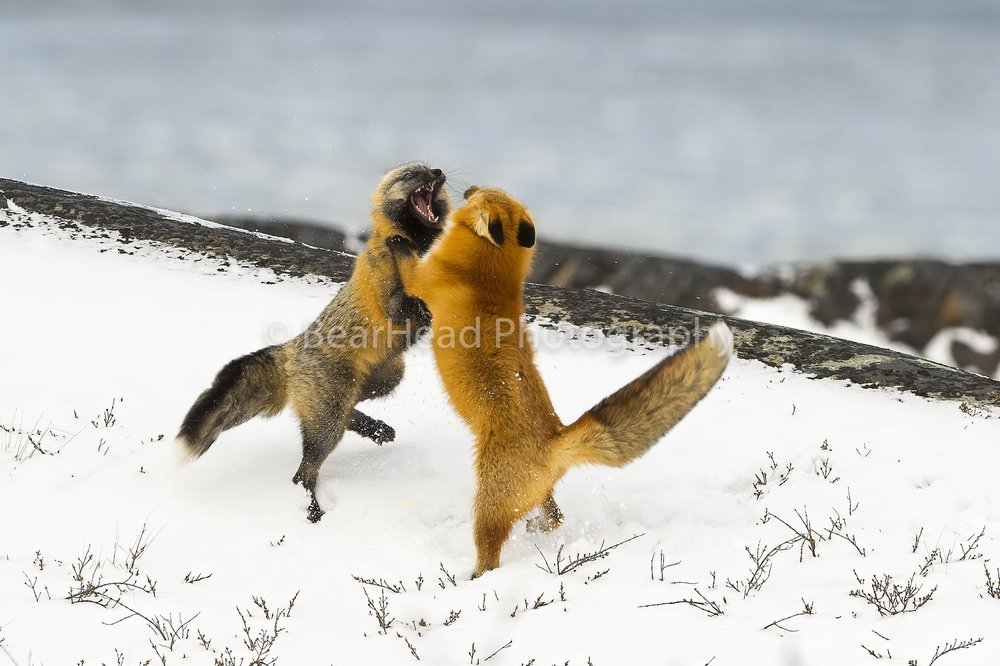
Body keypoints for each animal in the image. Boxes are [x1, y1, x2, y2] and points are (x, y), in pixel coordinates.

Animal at [177, 163, 450, 522]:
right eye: (409, 175)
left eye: (429, 170)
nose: (437, 171)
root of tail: (291, 348)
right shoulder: (389, 291)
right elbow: (407, 302)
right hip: (333, 412)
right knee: (305, 470)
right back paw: (312, 507)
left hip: (387, 377)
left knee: (349, 411)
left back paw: (375, 429)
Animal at [387, 186, 733, 577]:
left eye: (483, 195)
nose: (467, 188)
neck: (490, 271)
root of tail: (557, 437)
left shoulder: (423, 280)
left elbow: (407, 261)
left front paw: (395, 239)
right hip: (535, 496)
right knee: (555, 519)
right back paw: (539, 527)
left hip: (489, 505)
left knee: (490, 554)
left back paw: (473, 578)